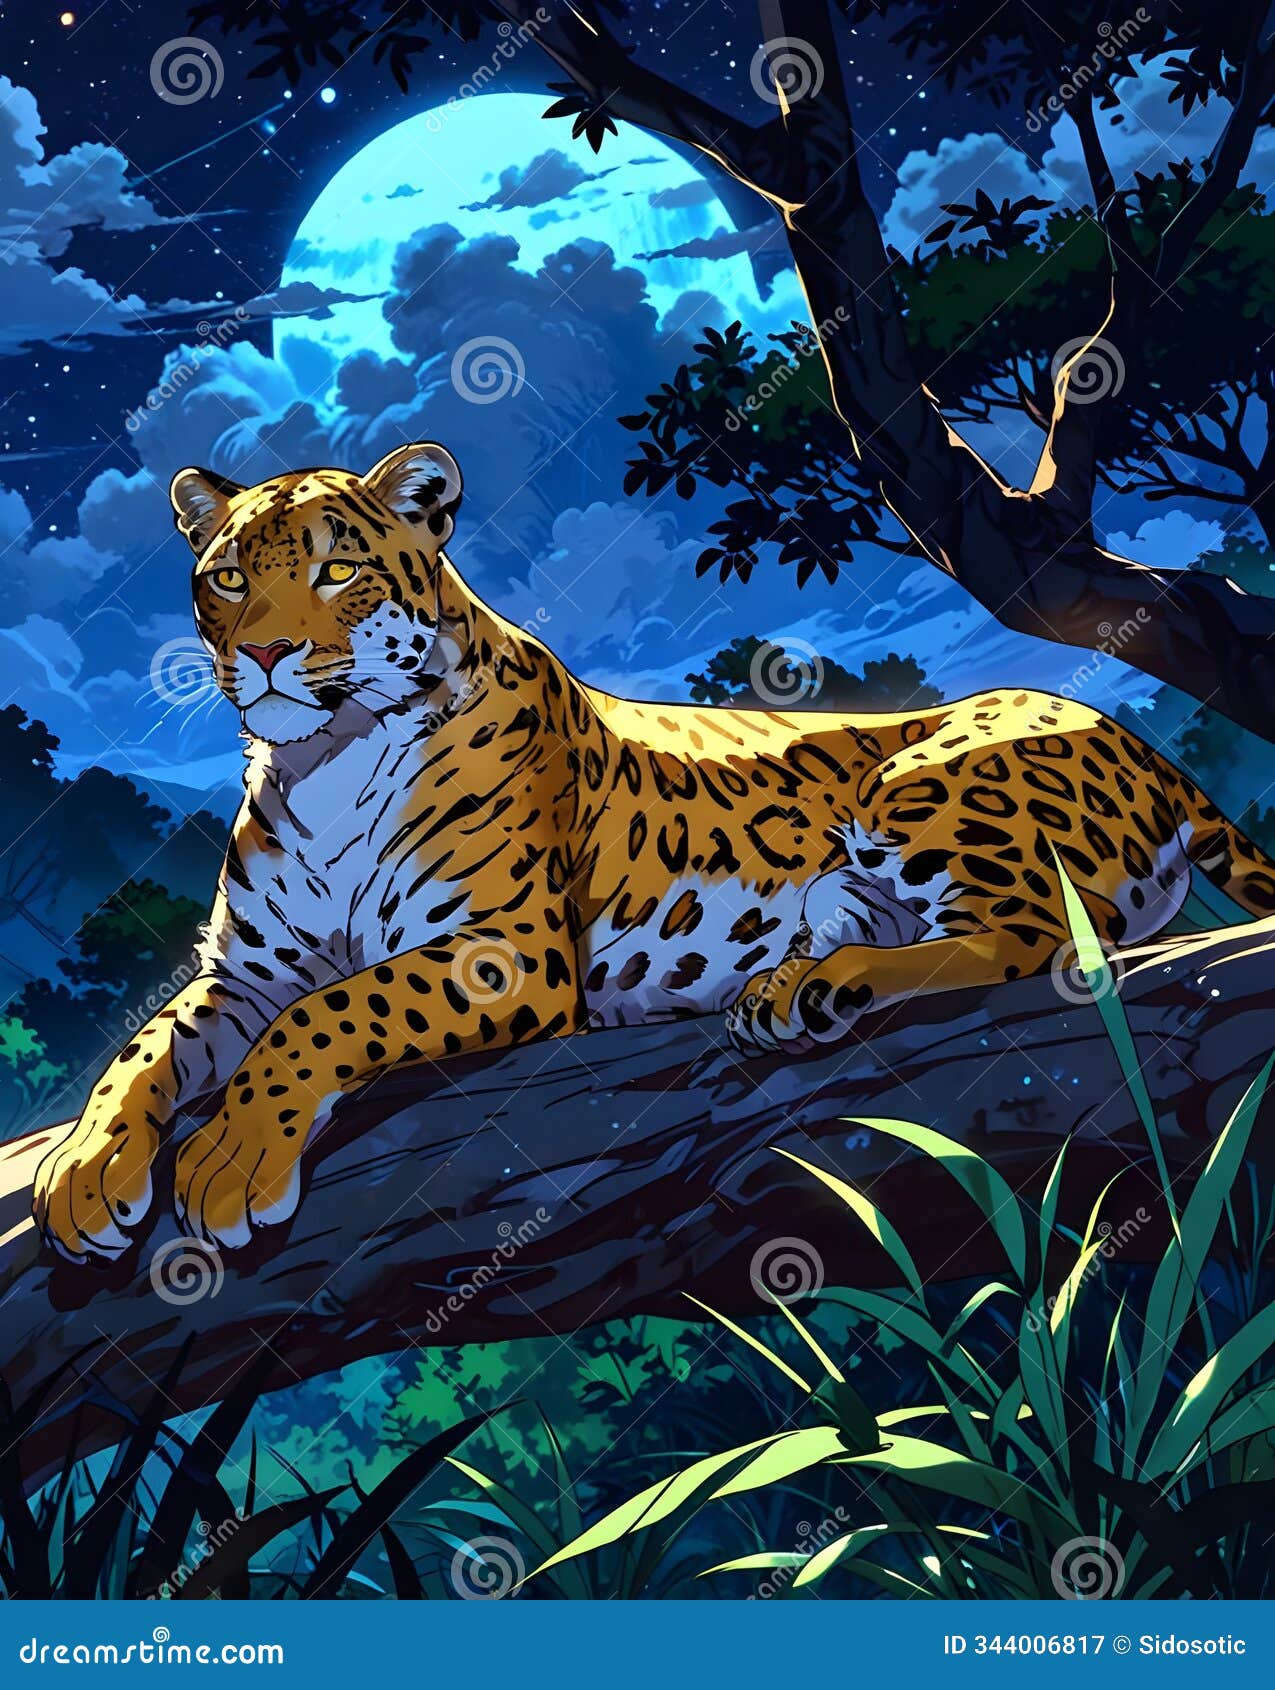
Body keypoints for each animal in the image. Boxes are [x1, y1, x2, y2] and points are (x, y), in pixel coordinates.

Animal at [33, 440, 1275, 1260]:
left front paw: (230, 1162)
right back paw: (796, 985)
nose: (266, 655)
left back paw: (816, 990)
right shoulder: (243, 974)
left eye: (340, 570)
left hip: (920, 783)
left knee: (1028, 937)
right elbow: (146, 1047)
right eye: (229, 577)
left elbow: (329, 1014)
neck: (324, 764)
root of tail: (1143, 744)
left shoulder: (505, 954)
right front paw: (86, 1170)